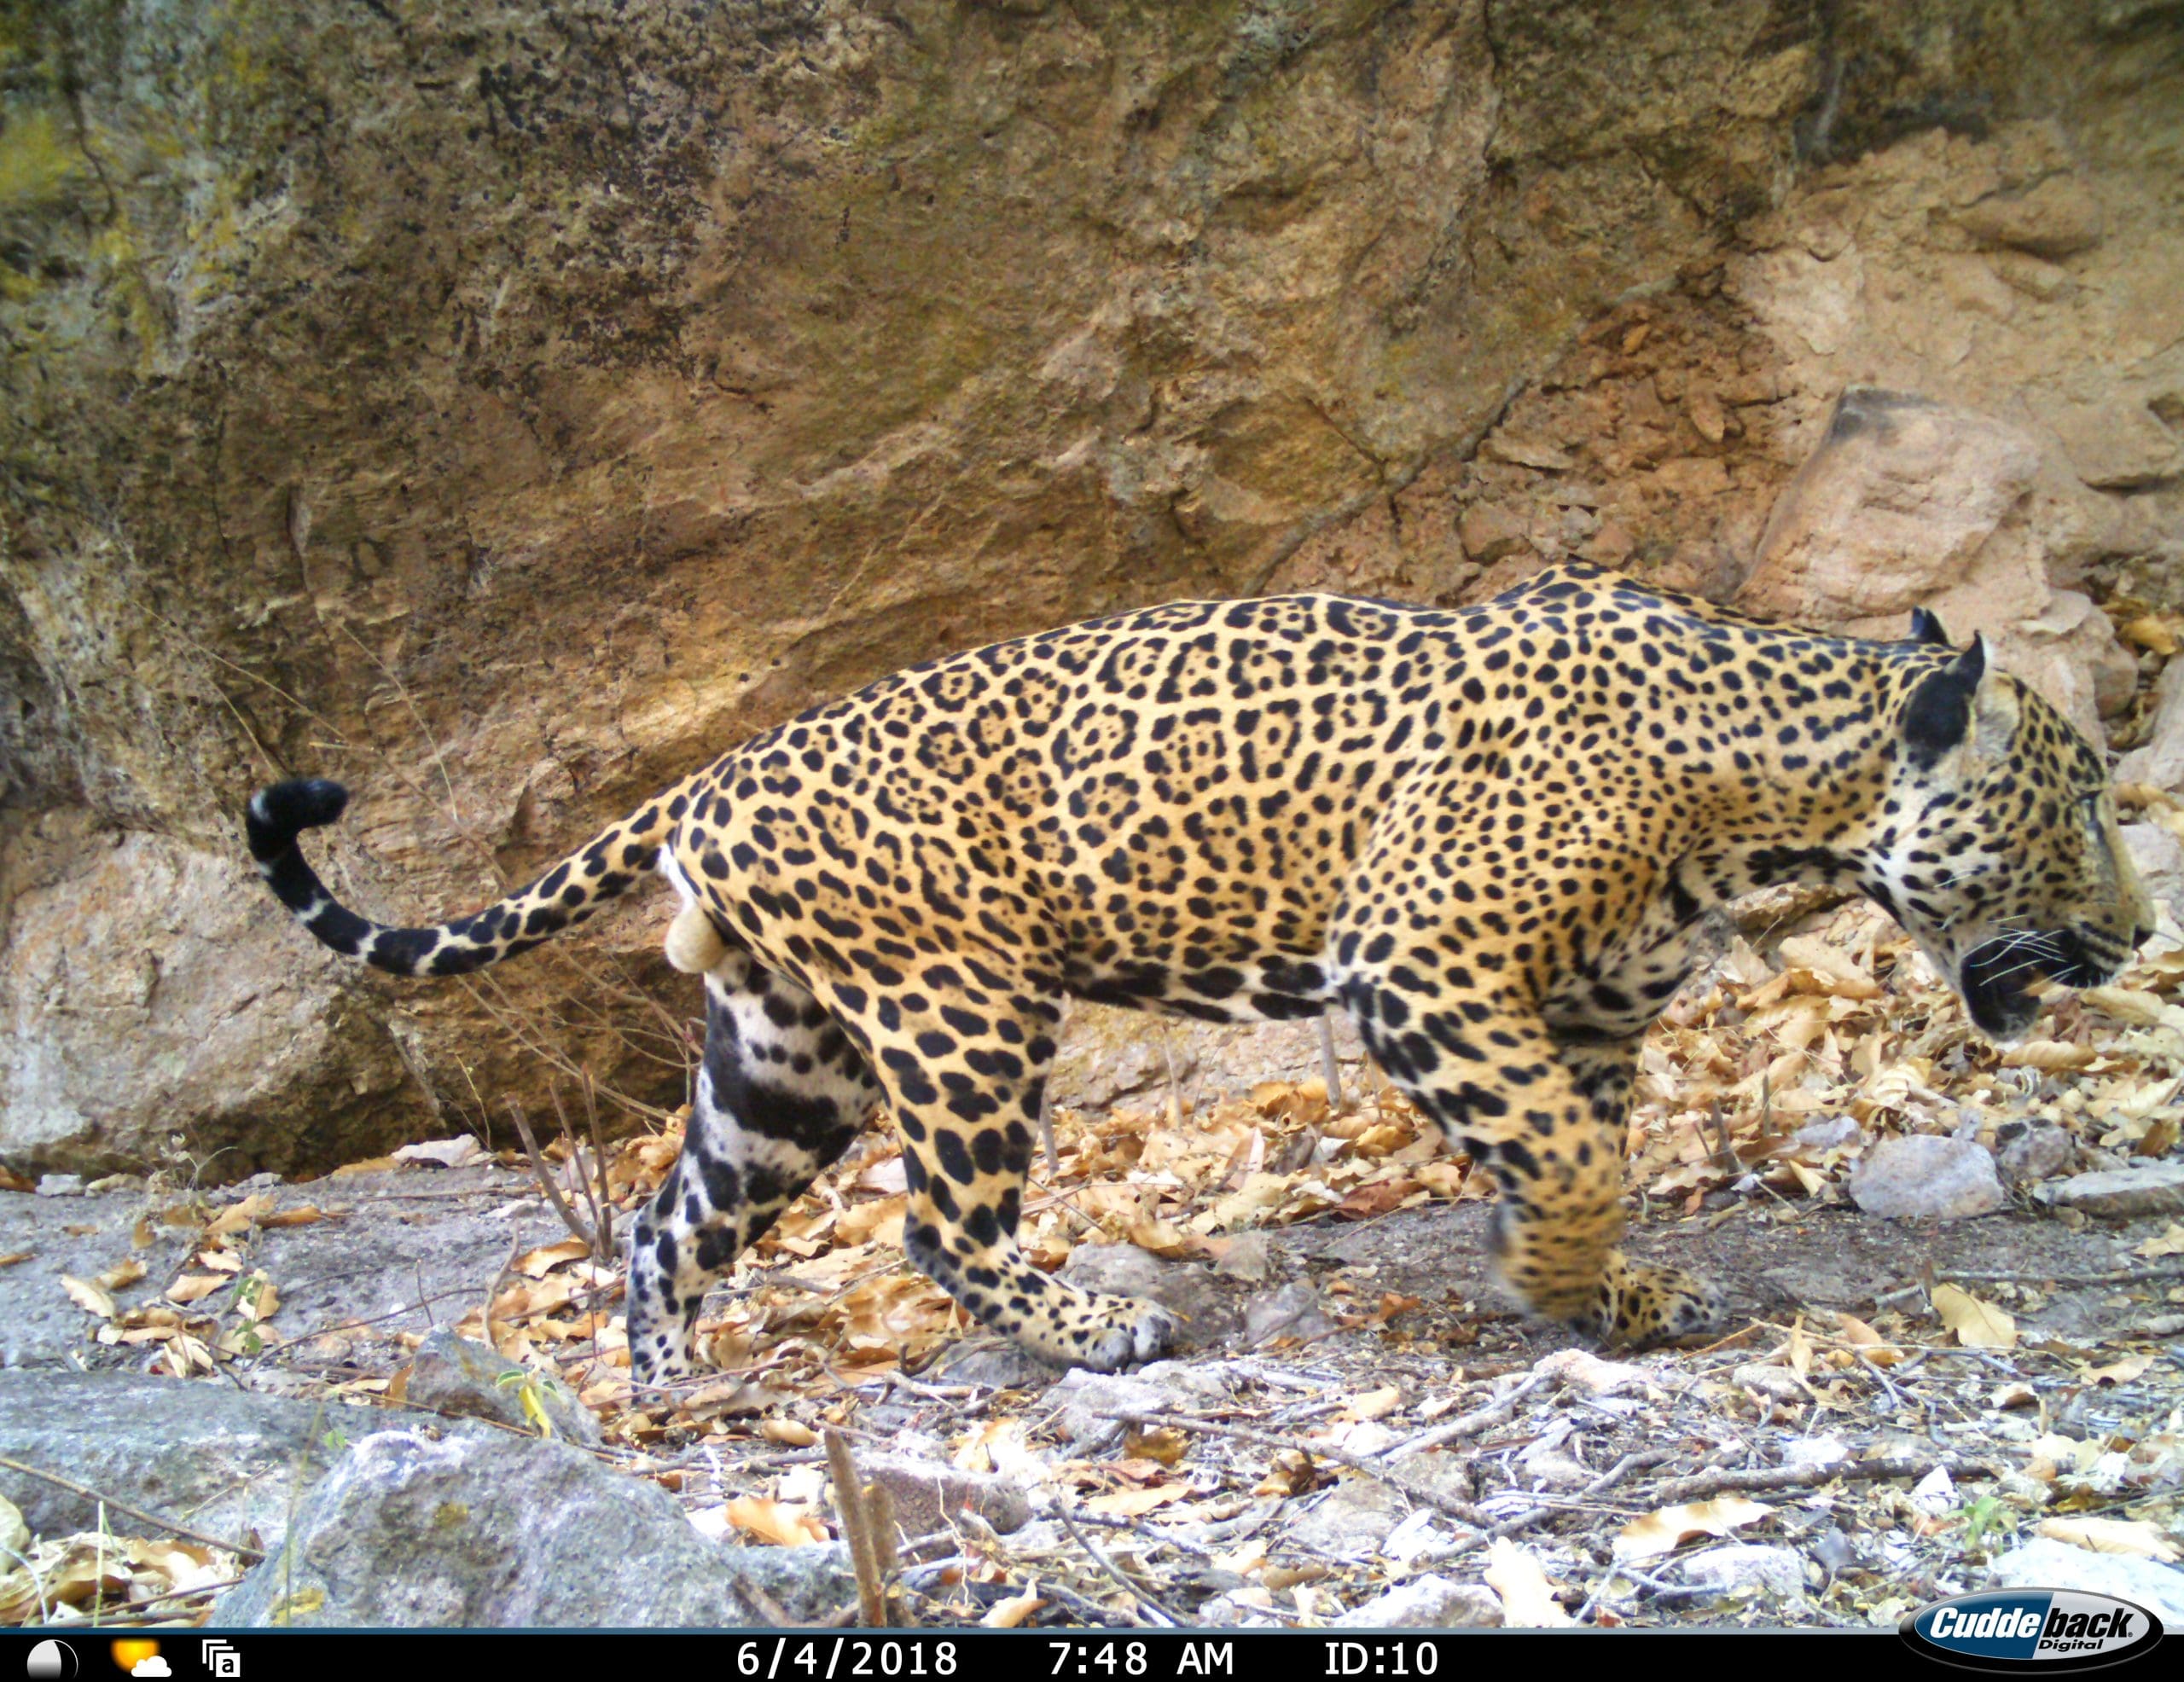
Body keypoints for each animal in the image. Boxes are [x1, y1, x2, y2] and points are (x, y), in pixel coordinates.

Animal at [245, 561, 2154, 1387]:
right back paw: (1096, 1329)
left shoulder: (1585, 1010)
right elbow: (1566, 1154)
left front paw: (1597, 1293)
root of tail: (717, 770)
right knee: (942, 1227)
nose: (2142, 936)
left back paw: (660, 1394)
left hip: (788, 1052)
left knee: (669, 1215)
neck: (1762, 792)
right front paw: (1546, 1275)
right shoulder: (1424, 962)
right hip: (963, 1008)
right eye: (2075, 809)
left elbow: (1583, 1148)